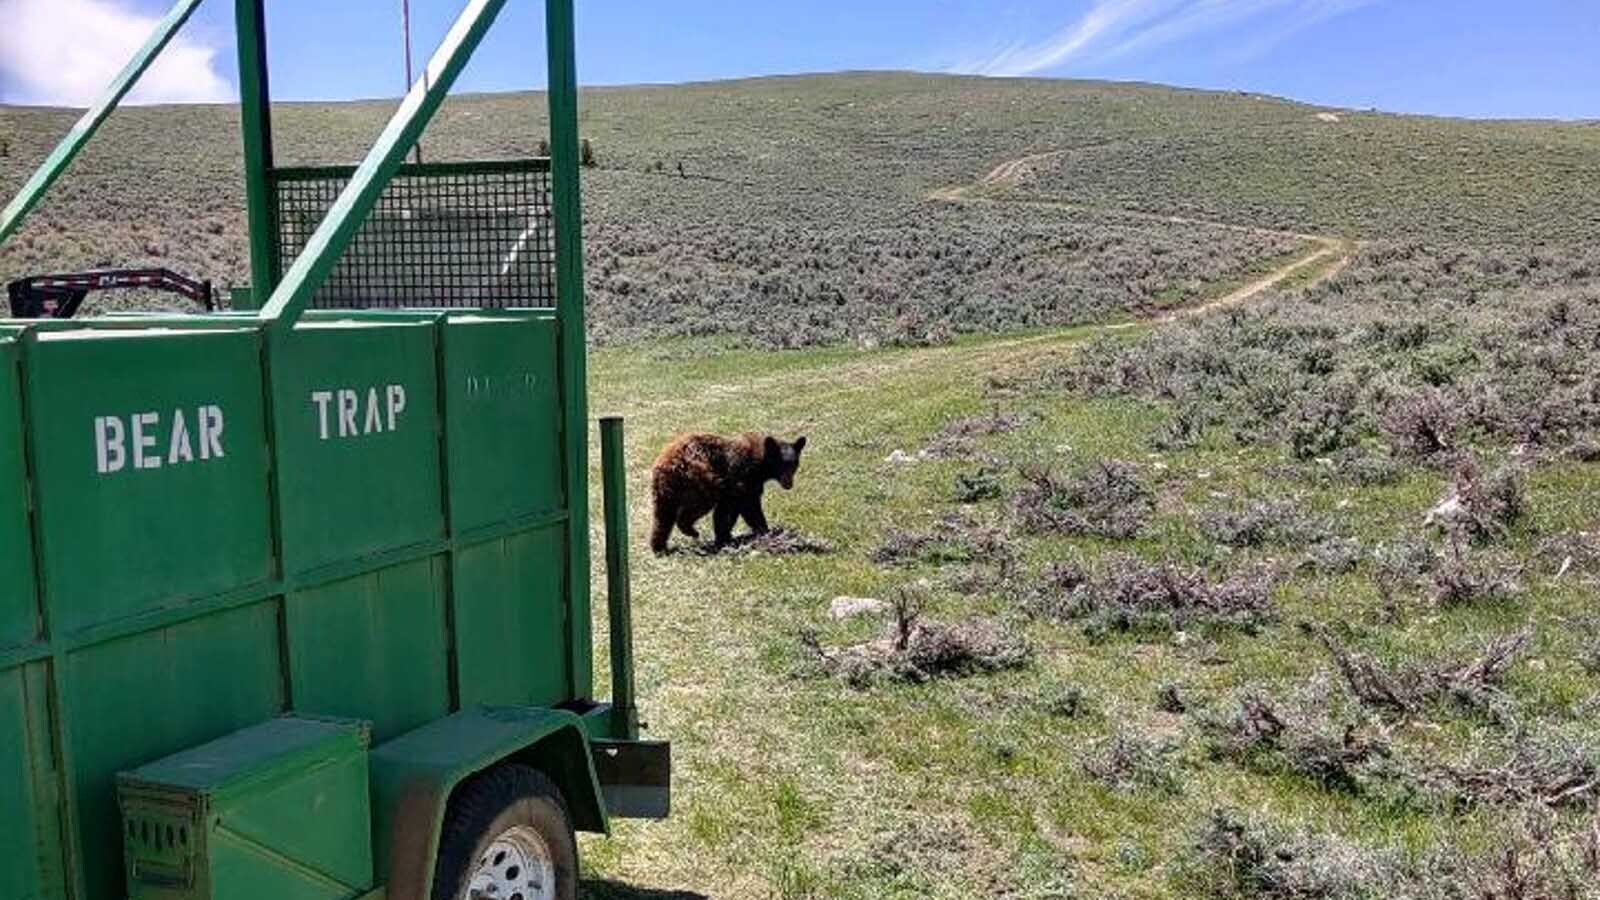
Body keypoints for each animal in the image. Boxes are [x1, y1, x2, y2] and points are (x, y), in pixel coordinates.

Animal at [649, 432, 807, 554]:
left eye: (794, 464)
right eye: (781, 464)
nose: (789, 483)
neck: (761, 465)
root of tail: (666, 464)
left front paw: (725, 537)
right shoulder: (741, 478)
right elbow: (744, 507)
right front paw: (764, 531)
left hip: (665, 492)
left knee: (662, 518)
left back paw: (658, 546)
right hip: (700, 477)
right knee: (700, 503)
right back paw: (689, 529)